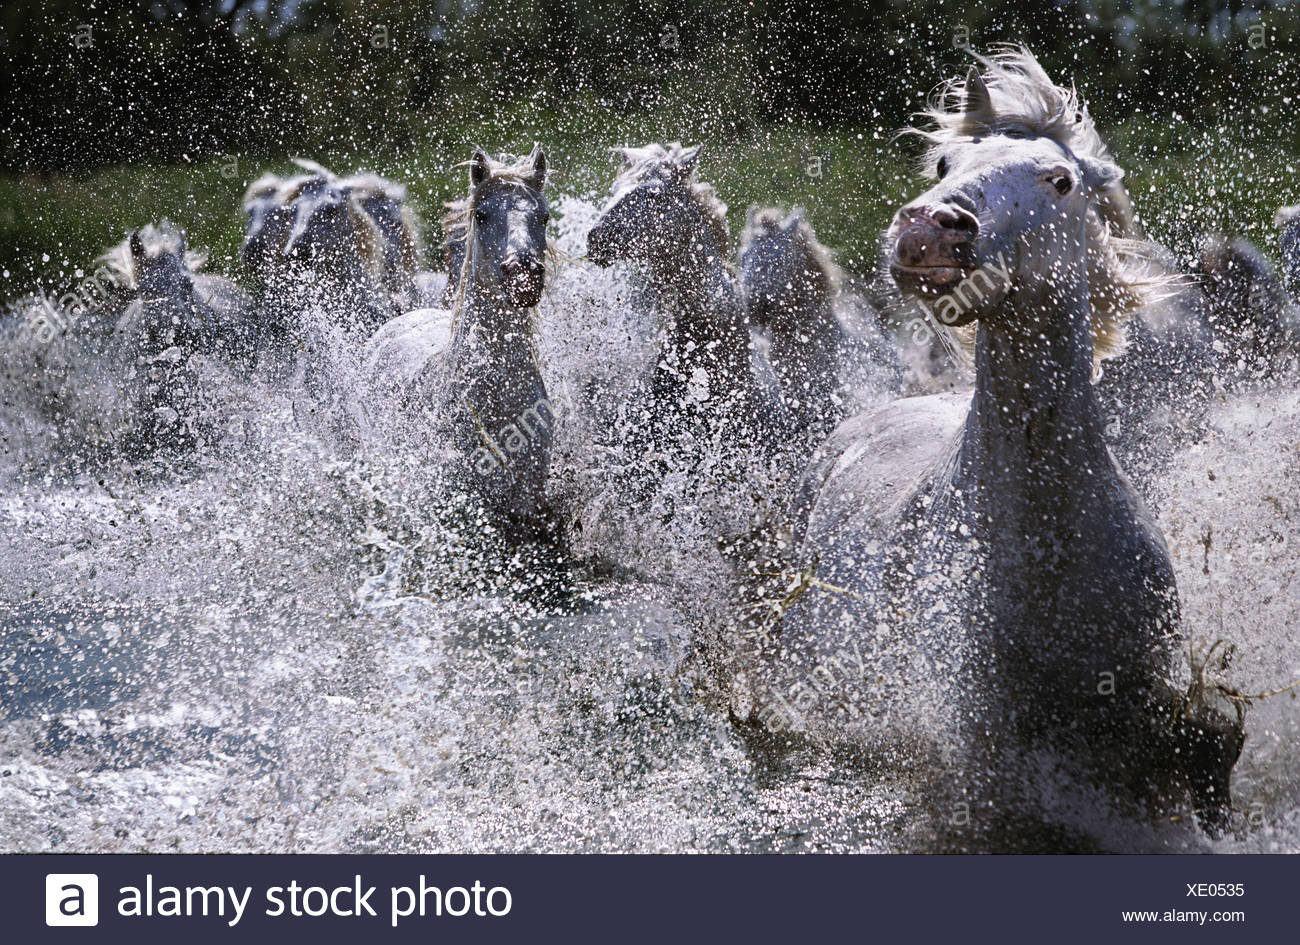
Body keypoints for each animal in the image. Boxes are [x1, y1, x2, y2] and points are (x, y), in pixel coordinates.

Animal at [753, 49, 1243, 849]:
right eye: (944, 161)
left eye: (1060, 180)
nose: (930, 230)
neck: (1046, 551)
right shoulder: (986, 768)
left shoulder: (1149, 743)